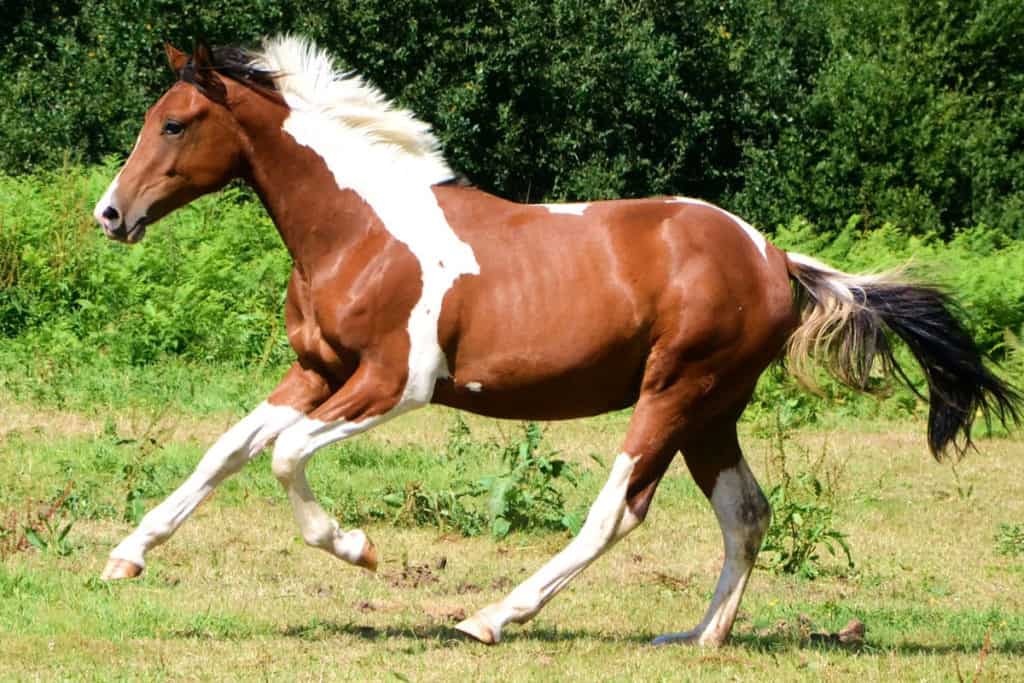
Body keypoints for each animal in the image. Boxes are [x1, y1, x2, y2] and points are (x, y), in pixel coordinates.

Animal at [92, 36, 1020, 646]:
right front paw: (125, 557)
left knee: (618, 508)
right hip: (712, 408)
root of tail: (773, 257)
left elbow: (283, 455)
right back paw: (699, 637)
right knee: (747, 511)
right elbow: (227, 449)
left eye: (175, 124)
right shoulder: (317, 370)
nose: (110, 213)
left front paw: (359, 549)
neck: (361, 230)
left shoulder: (396, 381)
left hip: (674, 389)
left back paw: (492, 616)